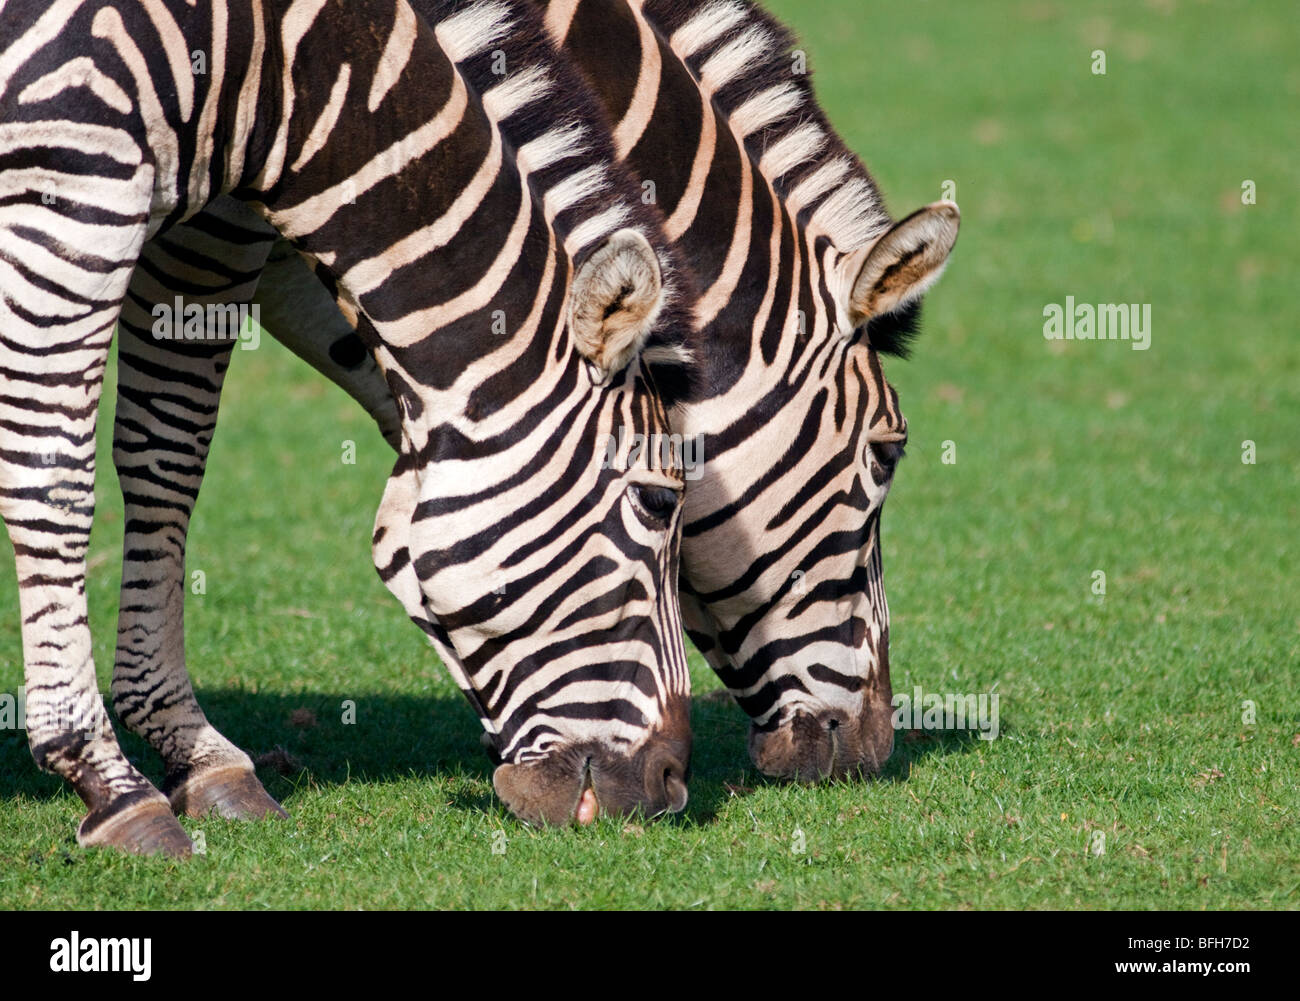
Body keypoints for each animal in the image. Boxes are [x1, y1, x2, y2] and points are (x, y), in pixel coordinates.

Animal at [0, 0, 700, 856]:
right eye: (658, 502)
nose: (670, 788)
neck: (275, 57)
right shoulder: (71, 188)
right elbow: (54, 481)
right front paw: (107, 779)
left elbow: (165, 458)